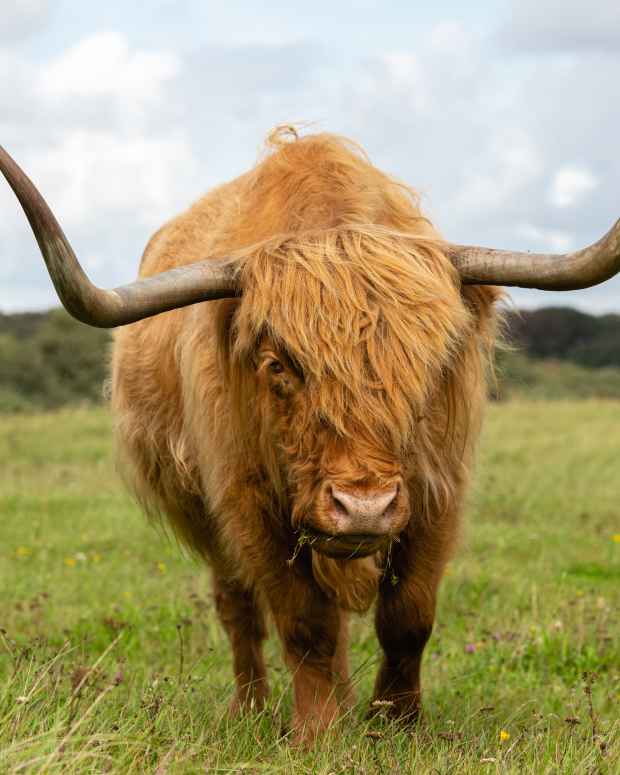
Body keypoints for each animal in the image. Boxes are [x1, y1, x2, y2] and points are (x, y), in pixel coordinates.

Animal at [1, 128, 619, 743]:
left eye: (431, 362)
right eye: (279, 366)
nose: (364, 507)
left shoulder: (439, 491)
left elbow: (409, 615)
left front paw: (397, 722)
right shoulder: (249, 502)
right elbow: (303, 622)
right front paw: (318, 732)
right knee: (238, 607)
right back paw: (252, 708)